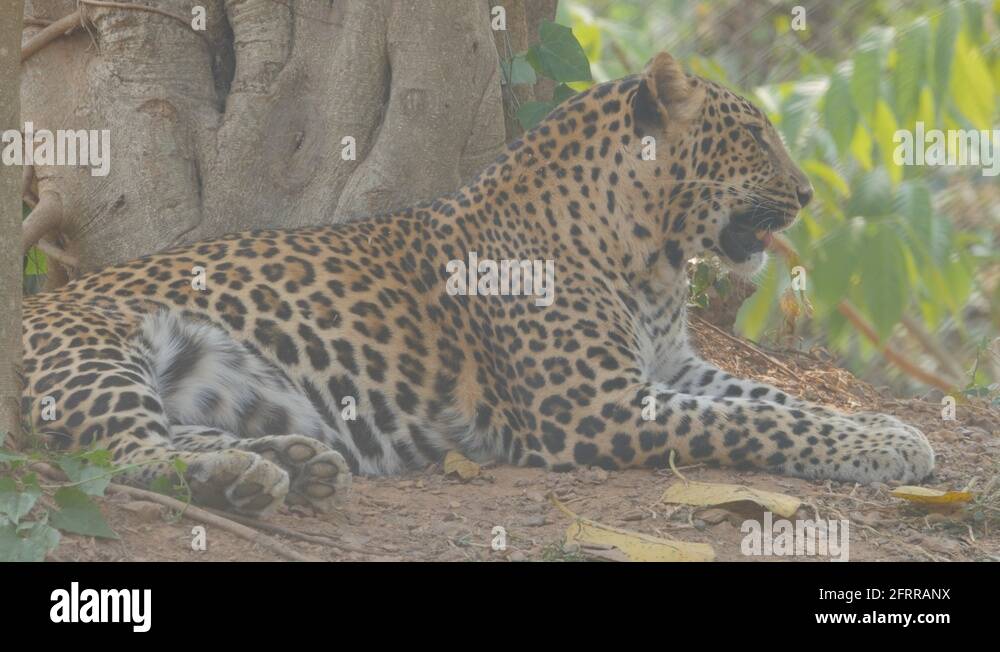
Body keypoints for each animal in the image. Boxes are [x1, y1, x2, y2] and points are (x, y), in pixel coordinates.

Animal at [20, 51, 934, 516]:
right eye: (752, 136)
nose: (808, 194)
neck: (651, 259)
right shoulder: (597, 408)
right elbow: (751, 425)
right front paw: (886, 447)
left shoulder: (674, 368)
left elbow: (775, 399)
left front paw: (889, 426)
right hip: (100, 350)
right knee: (121, 453)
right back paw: (240, 478)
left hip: (217, 380)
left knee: (171, 436)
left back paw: (287, 463)